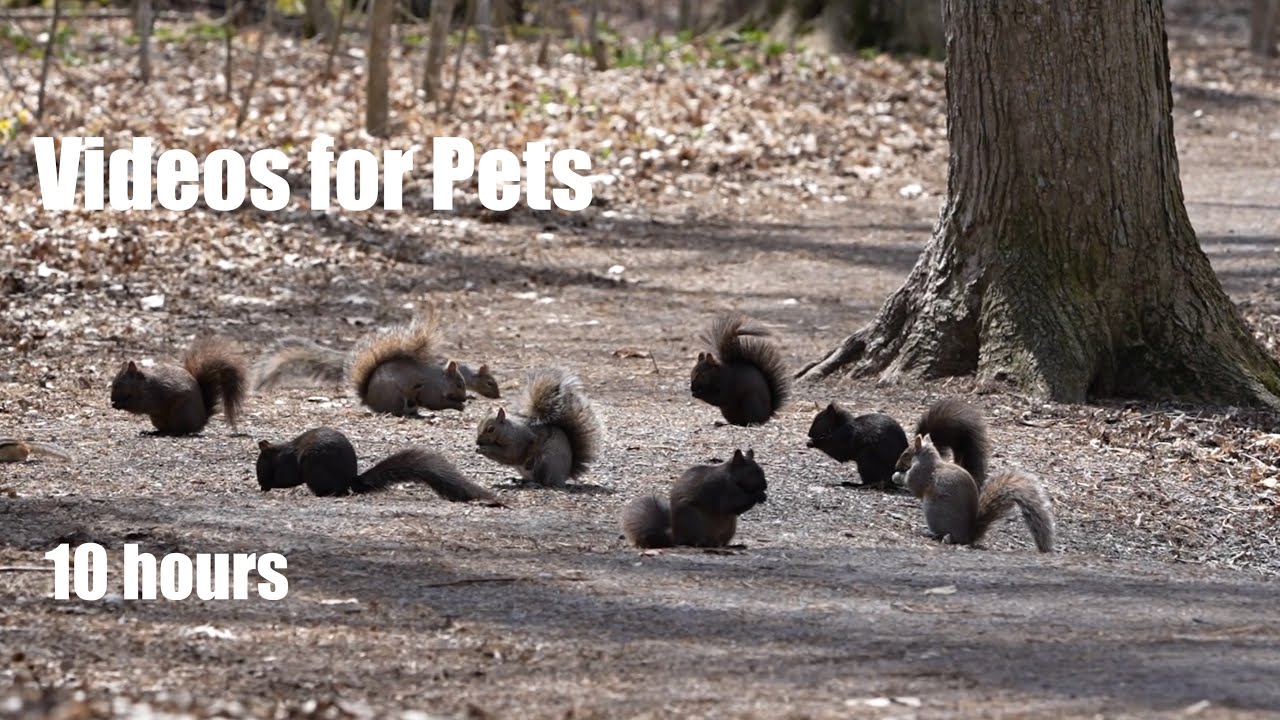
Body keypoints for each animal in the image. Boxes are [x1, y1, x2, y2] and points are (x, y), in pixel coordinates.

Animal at [110, 337, 248, 435]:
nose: (112, 399)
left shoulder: (151, 395)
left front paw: (119, 404)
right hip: (158, 419)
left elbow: (140, 405)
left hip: (180, 413)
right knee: (164, 429)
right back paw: (153, 432)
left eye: (119, 384)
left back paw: (172, 433)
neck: (143, 384)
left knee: (182, 430)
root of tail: (201, 421)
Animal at [255, 427, 498, 502]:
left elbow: (285, 479)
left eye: (260, 466)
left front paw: (268, 486)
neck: (279, 454)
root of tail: (349, 479)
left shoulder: (286, 466)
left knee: (334, 491)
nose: (260, 484)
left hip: (317, 472)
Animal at [621, 449, 768, 548]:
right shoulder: (720, 489)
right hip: (692, 519)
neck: (732, 478)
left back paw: (733, 546)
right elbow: (733, 504)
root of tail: (675, 536)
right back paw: (702, 543)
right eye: (752, 472)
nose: (765, 485)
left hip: (730, 528)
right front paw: (759, 495)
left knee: (721, 543)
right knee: (691, 541)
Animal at [892, 434, 1055, 552]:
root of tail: (968, 536)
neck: (929, 459)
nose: (896, 465)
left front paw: (897, 476)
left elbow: (914, 486)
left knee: (947, 535)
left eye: (906, 454)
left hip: (932, 511)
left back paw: (931, 533)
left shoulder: (921, 474)